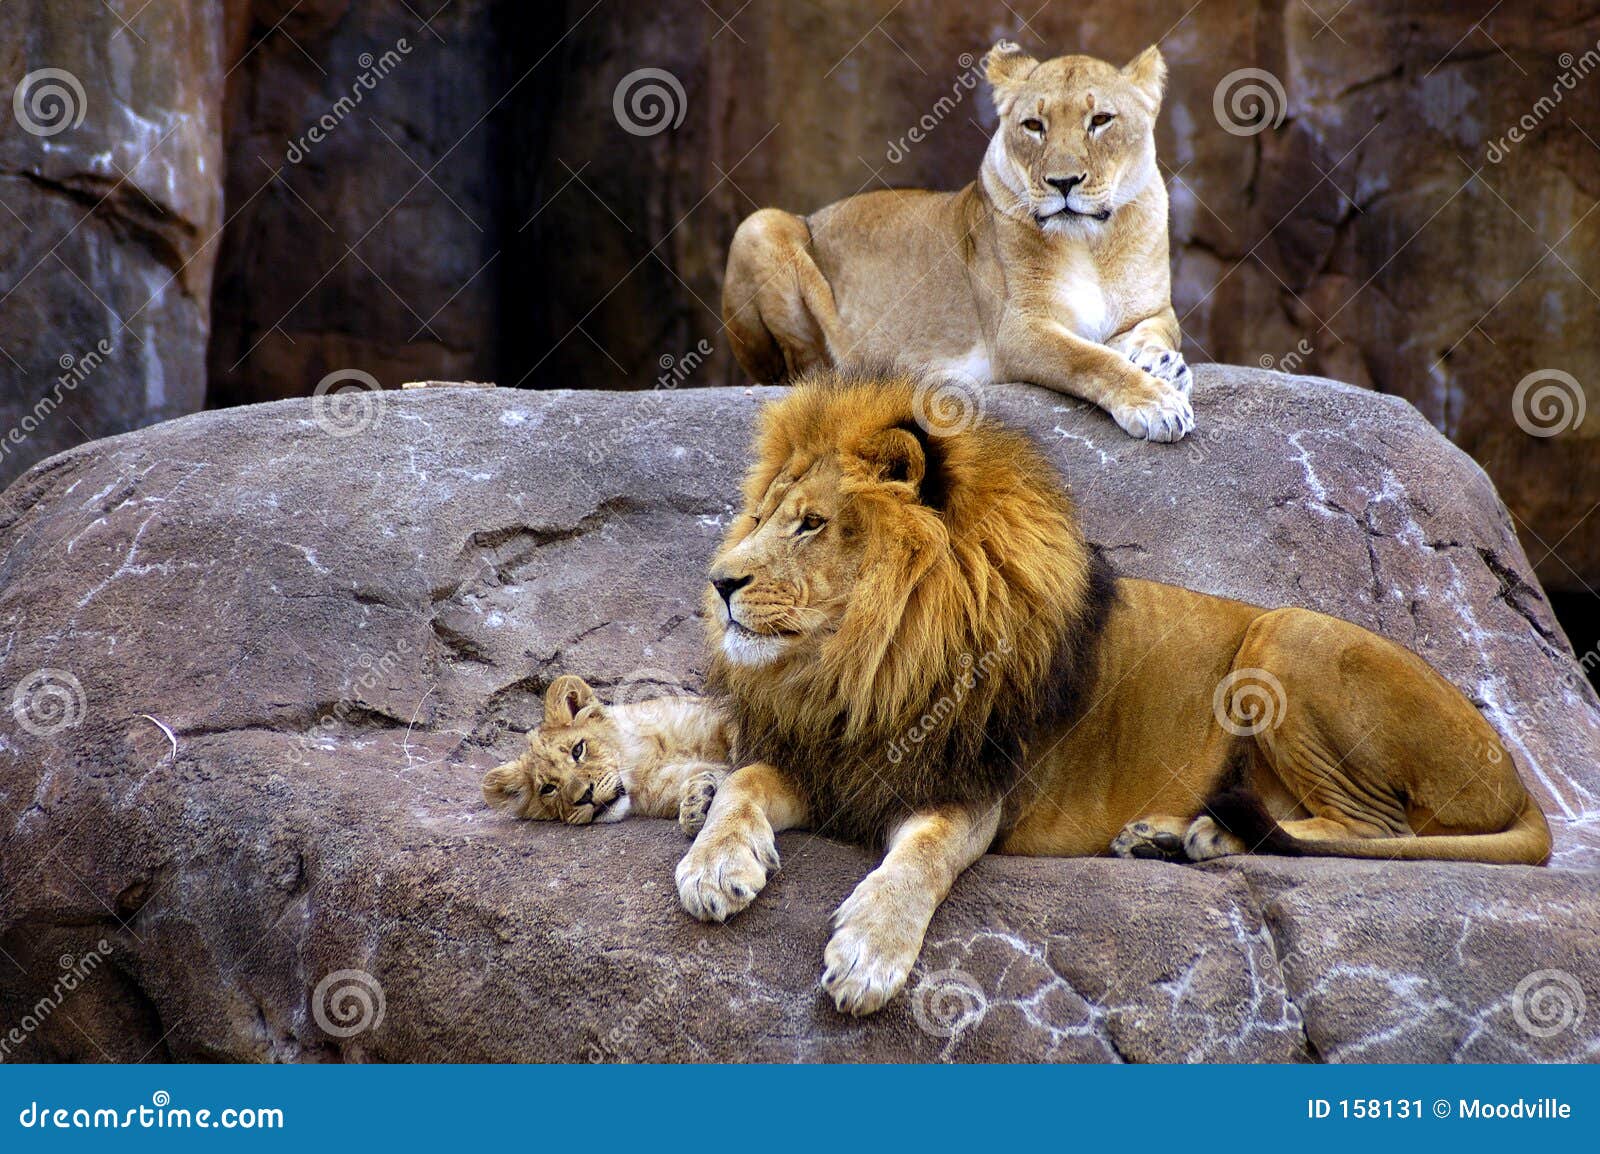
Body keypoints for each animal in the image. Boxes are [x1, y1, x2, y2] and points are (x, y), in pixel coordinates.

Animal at [675, 369, 1552, 1016]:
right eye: (761, 517)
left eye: (811, 524)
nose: (718, 583)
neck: (859, 665)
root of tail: (1515, 775)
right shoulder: (829, 759)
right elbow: (746, 784)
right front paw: (713, 864)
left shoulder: (973, 787)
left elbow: (920, 858)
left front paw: (868, 954)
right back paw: (1172, 836)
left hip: (1285, 633)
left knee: (1370, 829)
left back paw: (1207, 833)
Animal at [722, 40, 1194, 442]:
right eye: (1034, 126)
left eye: (1100, 121)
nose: (1062, 183)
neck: (1090, 244)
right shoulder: (1018, 331)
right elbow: (1090, 359)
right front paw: (1156, 403)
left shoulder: (1153, 311)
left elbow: (1156, 333)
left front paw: (1163, 364)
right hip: (759, 225)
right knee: (798, 371)